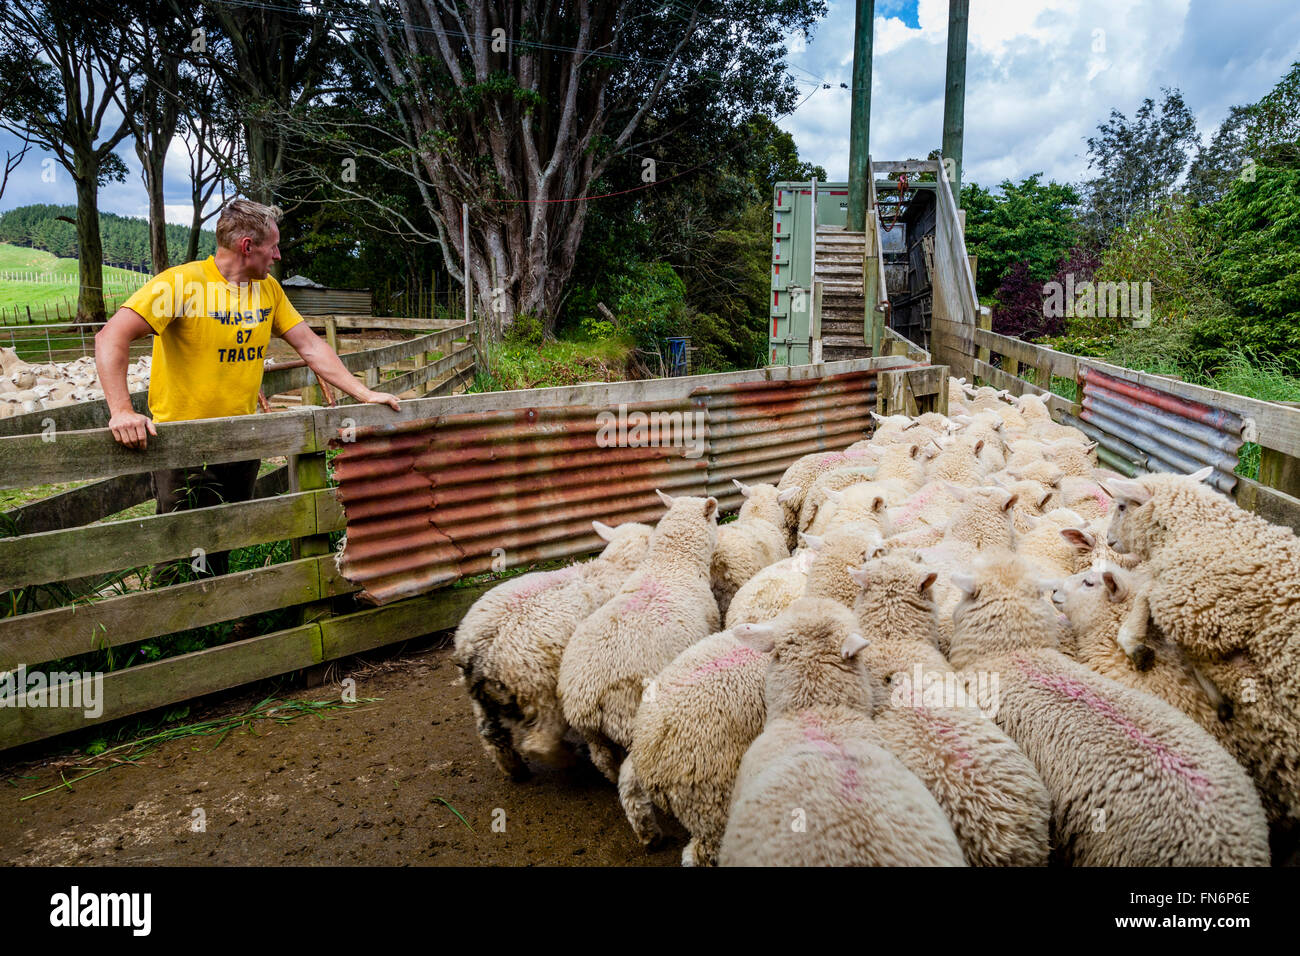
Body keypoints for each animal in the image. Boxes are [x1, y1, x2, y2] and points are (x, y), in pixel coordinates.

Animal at [452, 520, 653, 780]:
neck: (615, 565)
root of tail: (481, 651)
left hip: (482, 701)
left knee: (491, 736)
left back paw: (515, 770)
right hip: (543, 694)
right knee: (539, 743)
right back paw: (570, 760)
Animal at [558, 492, 720, 782]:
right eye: (717, 517)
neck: (674, 564)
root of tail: (584, 699)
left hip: (594, 735)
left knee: (603, 760)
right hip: (626, 717)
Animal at [1104, 466, 1300, 833]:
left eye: (1122, 506)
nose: (1108, 540)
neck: (1200, 529)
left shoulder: (1198, 609)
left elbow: (1149, 593)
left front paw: (1133, 641)